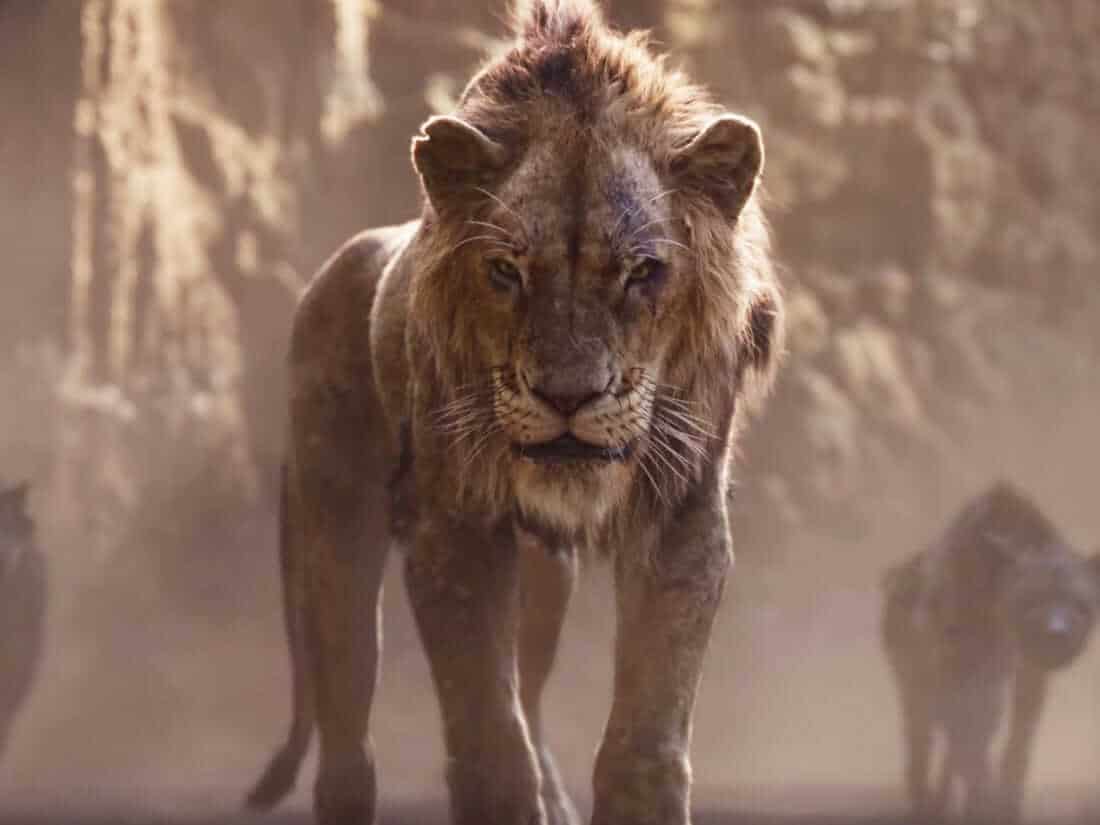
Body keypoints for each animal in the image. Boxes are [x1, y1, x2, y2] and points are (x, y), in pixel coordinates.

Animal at [244, 2, 784, 823]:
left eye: (642, 272)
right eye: (505, 271)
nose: (567, 396)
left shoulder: (683, 517)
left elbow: (644, 739)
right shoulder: (455, 529)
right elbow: (490, 743)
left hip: (544, 578)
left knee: (526, 695)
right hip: (336, 530)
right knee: (347, 744)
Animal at [882, 481, 1100, 823]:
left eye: (1078, 603)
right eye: (1032, 599)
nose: (1057, 632)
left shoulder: (1027, 677)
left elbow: (1016, 745)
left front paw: (1006, 803)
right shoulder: (958, 673)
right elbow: (970, 750)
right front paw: (983, 805)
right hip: (915, 685)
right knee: (921, 740)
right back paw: (924, 804)